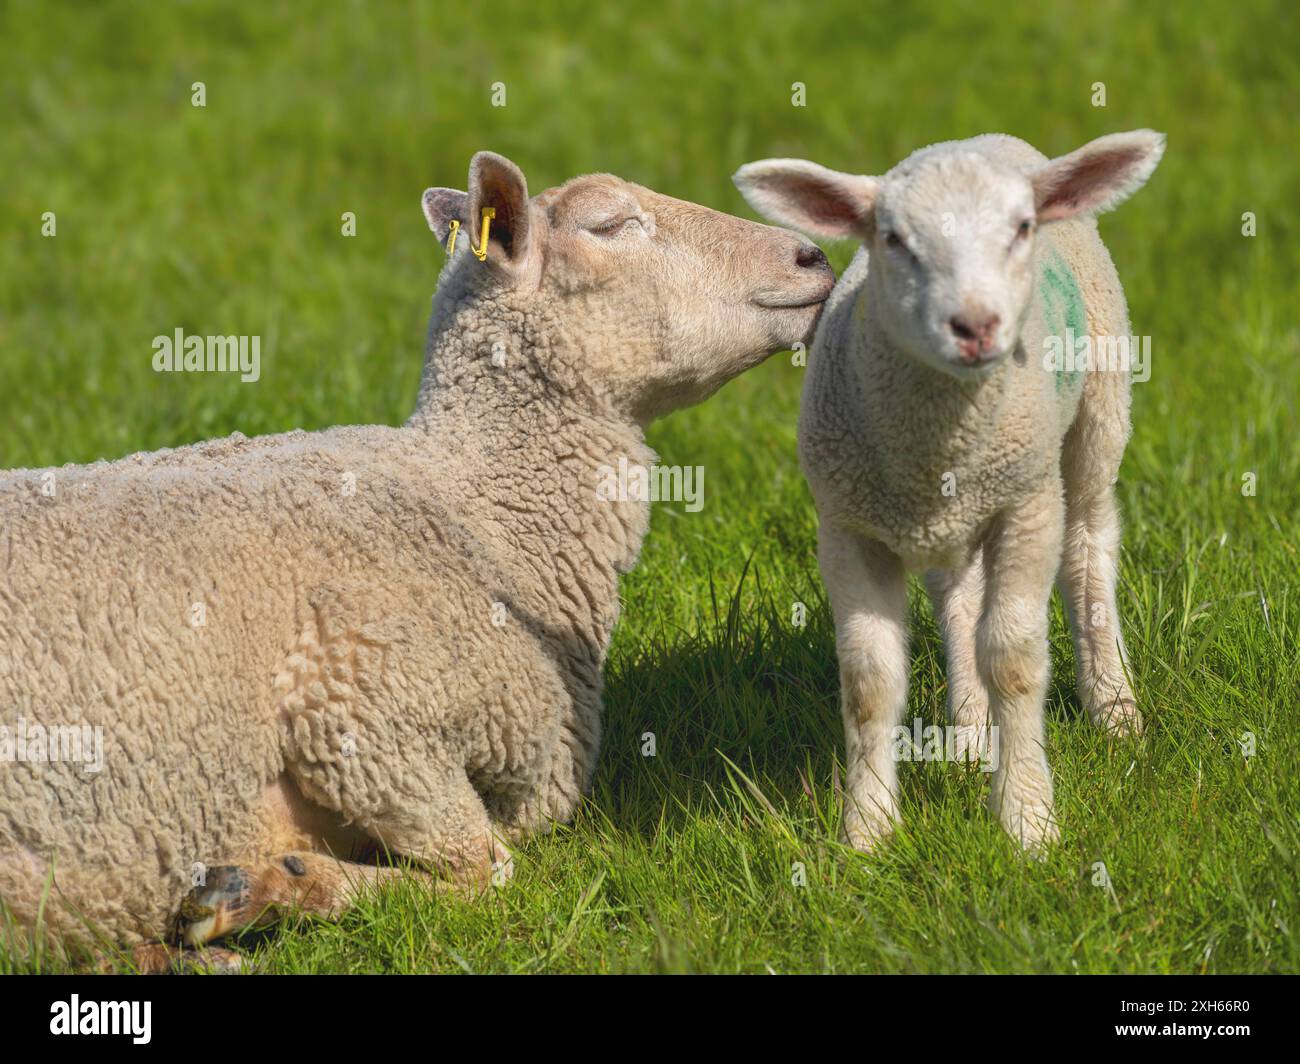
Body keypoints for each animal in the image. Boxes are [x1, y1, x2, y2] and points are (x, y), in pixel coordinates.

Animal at [0, 150, 834, 970]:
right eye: (611, 223)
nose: (814, 255)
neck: (478, 509)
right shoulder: (362, 708)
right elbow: (486, 875)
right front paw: (274, 887)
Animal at [734, 131, 1165, 851]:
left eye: (1021, 229)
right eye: (893, 237)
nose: (976, 325)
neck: (940, 435)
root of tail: (989, 138)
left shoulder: (1026, 505)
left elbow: (1014, 659)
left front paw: (1028, 822)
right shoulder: (847, 526)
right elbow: (870, 680)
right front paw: (868, 832)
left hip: (1098, 410)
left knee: (1088, 546)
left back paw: (1114, 709)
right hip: (958, 508)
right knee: (957, 595)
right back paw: (967, 736)